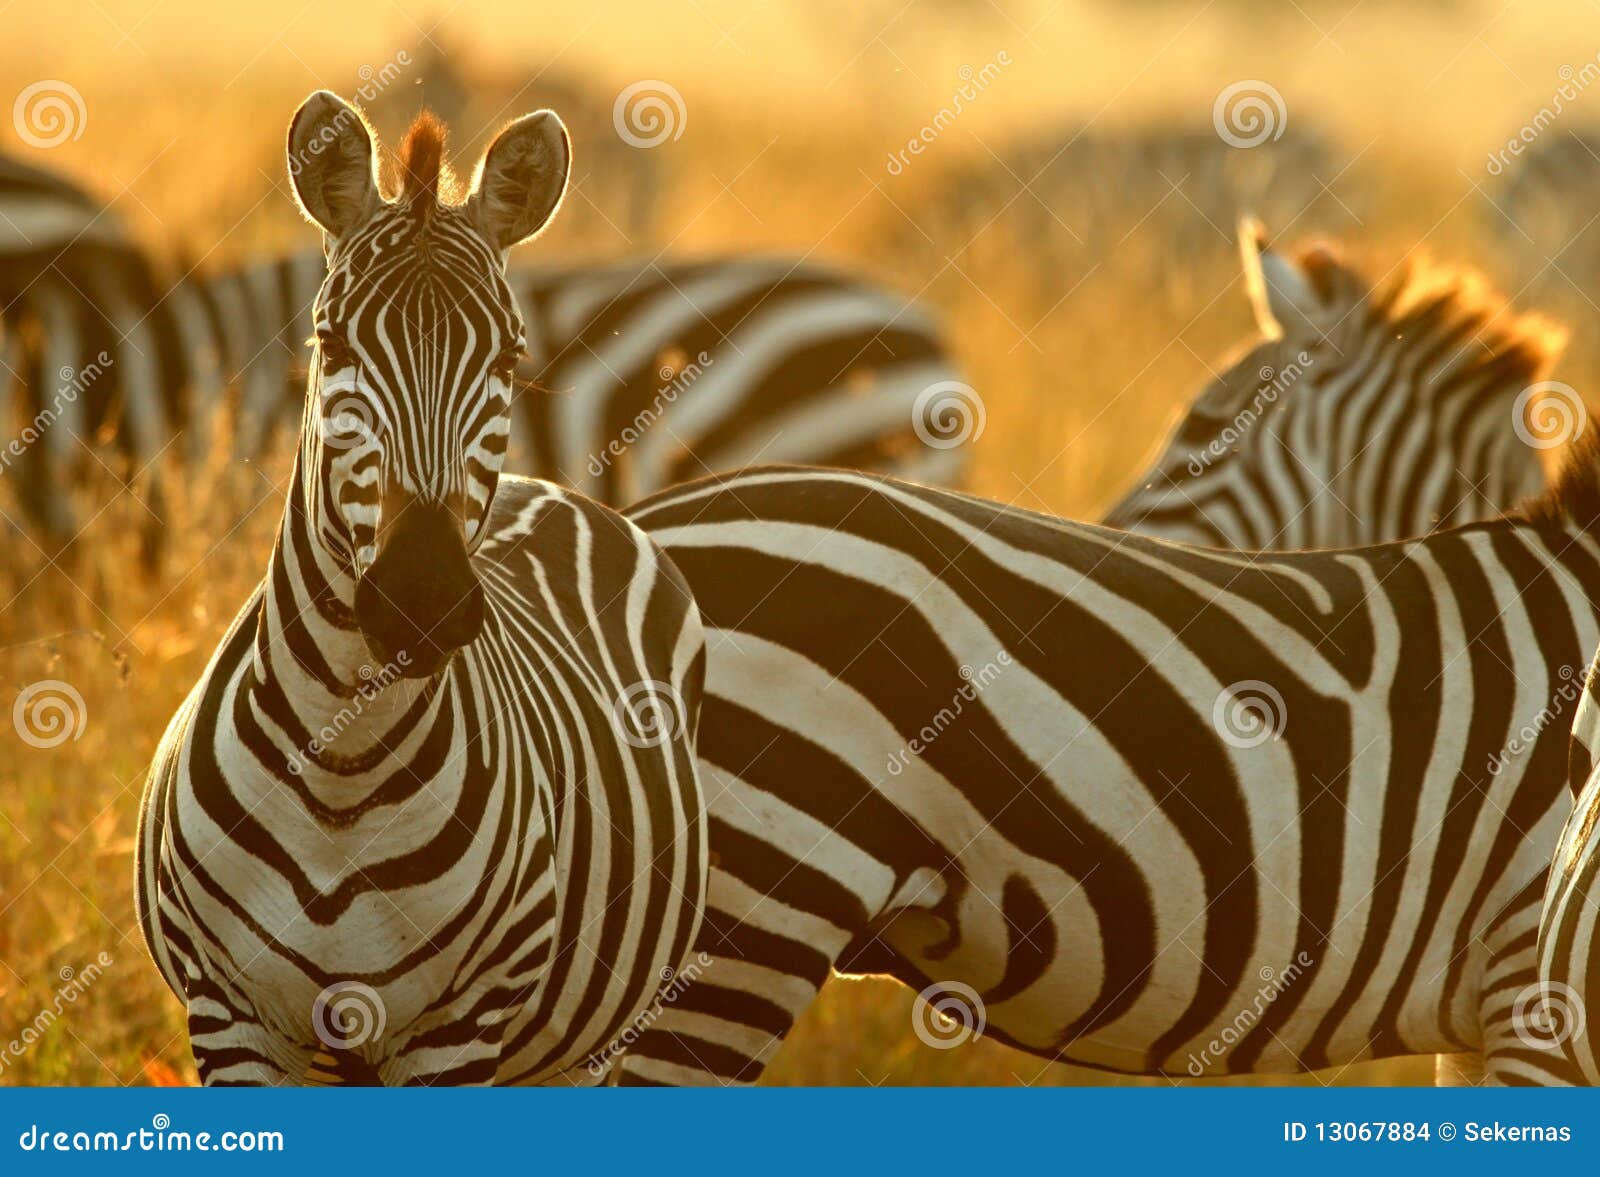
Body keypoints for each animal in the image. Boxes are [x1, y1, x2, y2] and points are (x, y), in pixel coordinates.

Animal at [135, 95, 707, 1085]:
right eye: (330, 342)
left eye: (511, 357)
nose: (423, 596)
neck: (343, 765)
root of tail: (547, 489)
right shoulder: (228, 1017)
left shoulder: (458, 1028)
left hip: (589, 1049)